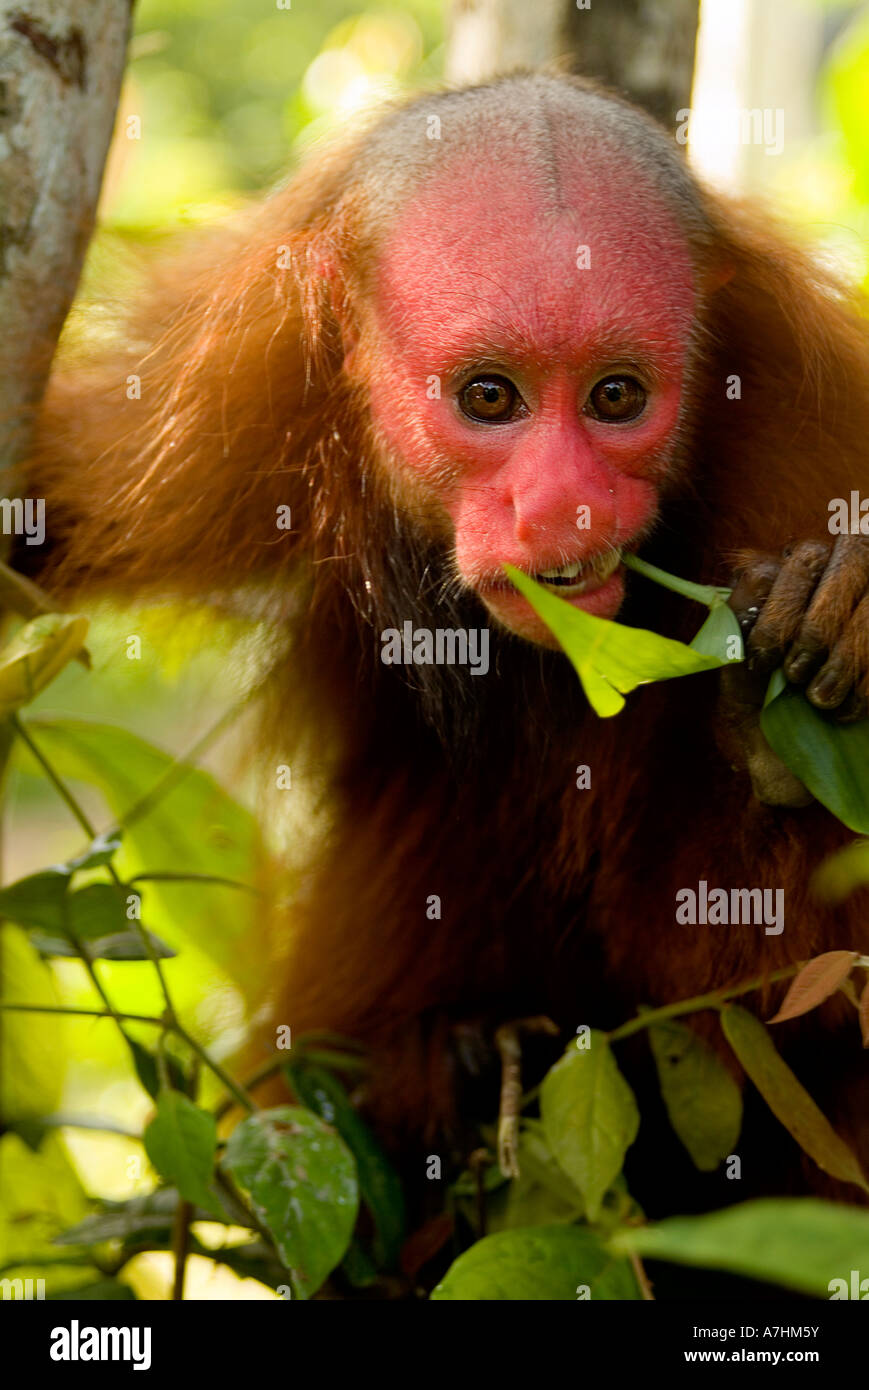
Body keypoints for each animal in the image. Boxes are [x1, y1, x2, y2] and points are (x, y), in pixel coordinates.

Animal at [20, 72, 869, 1214]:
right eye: (488, 397)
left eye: (615, 397)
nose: (561, 506)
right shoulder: (205, 425)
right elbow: (49, 526)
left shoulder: (808, 444)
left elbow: (771, 1002)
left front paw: (782, 729)